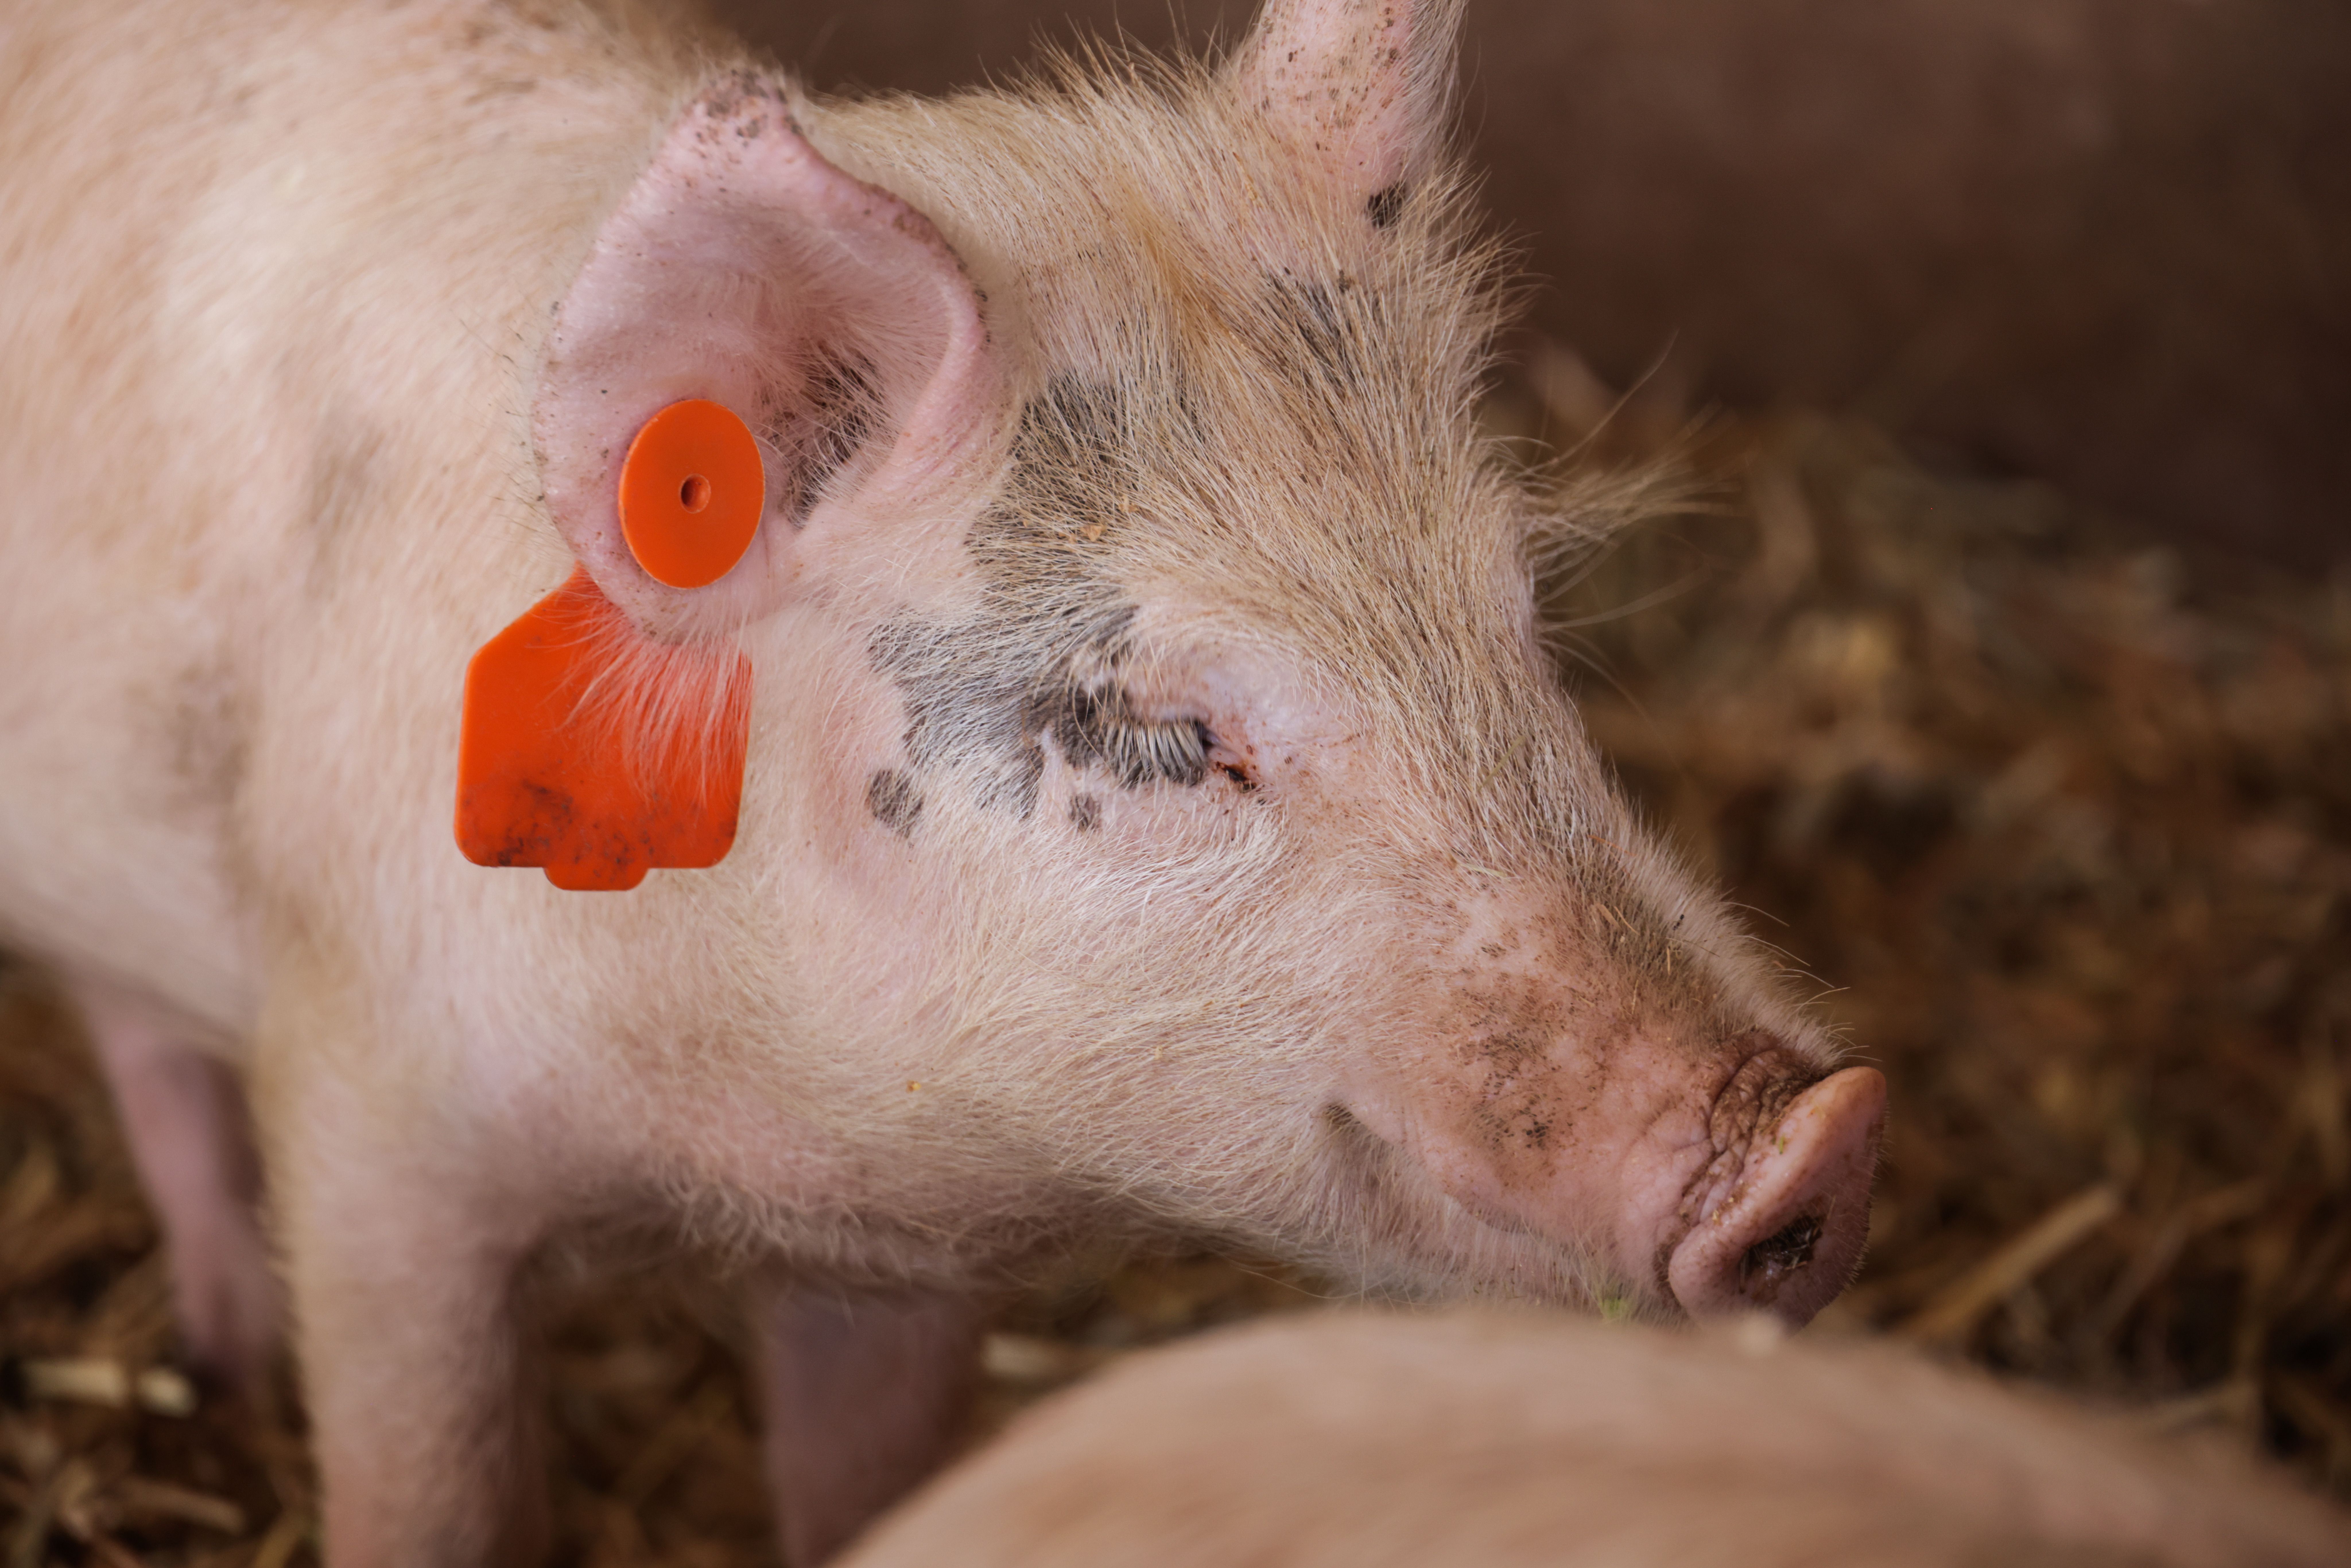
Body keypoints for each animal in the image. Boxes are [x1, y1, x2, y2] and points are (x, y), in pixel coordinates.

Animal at [0, 0, 1886, 1563]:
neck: (712, 1121)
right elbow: (433, 1486)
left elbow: (869, 1482)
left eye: (1522, 618)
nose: (1824, 1134)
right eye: (1162, 728)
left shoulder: (899, 1251)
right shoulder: (370, 1099)